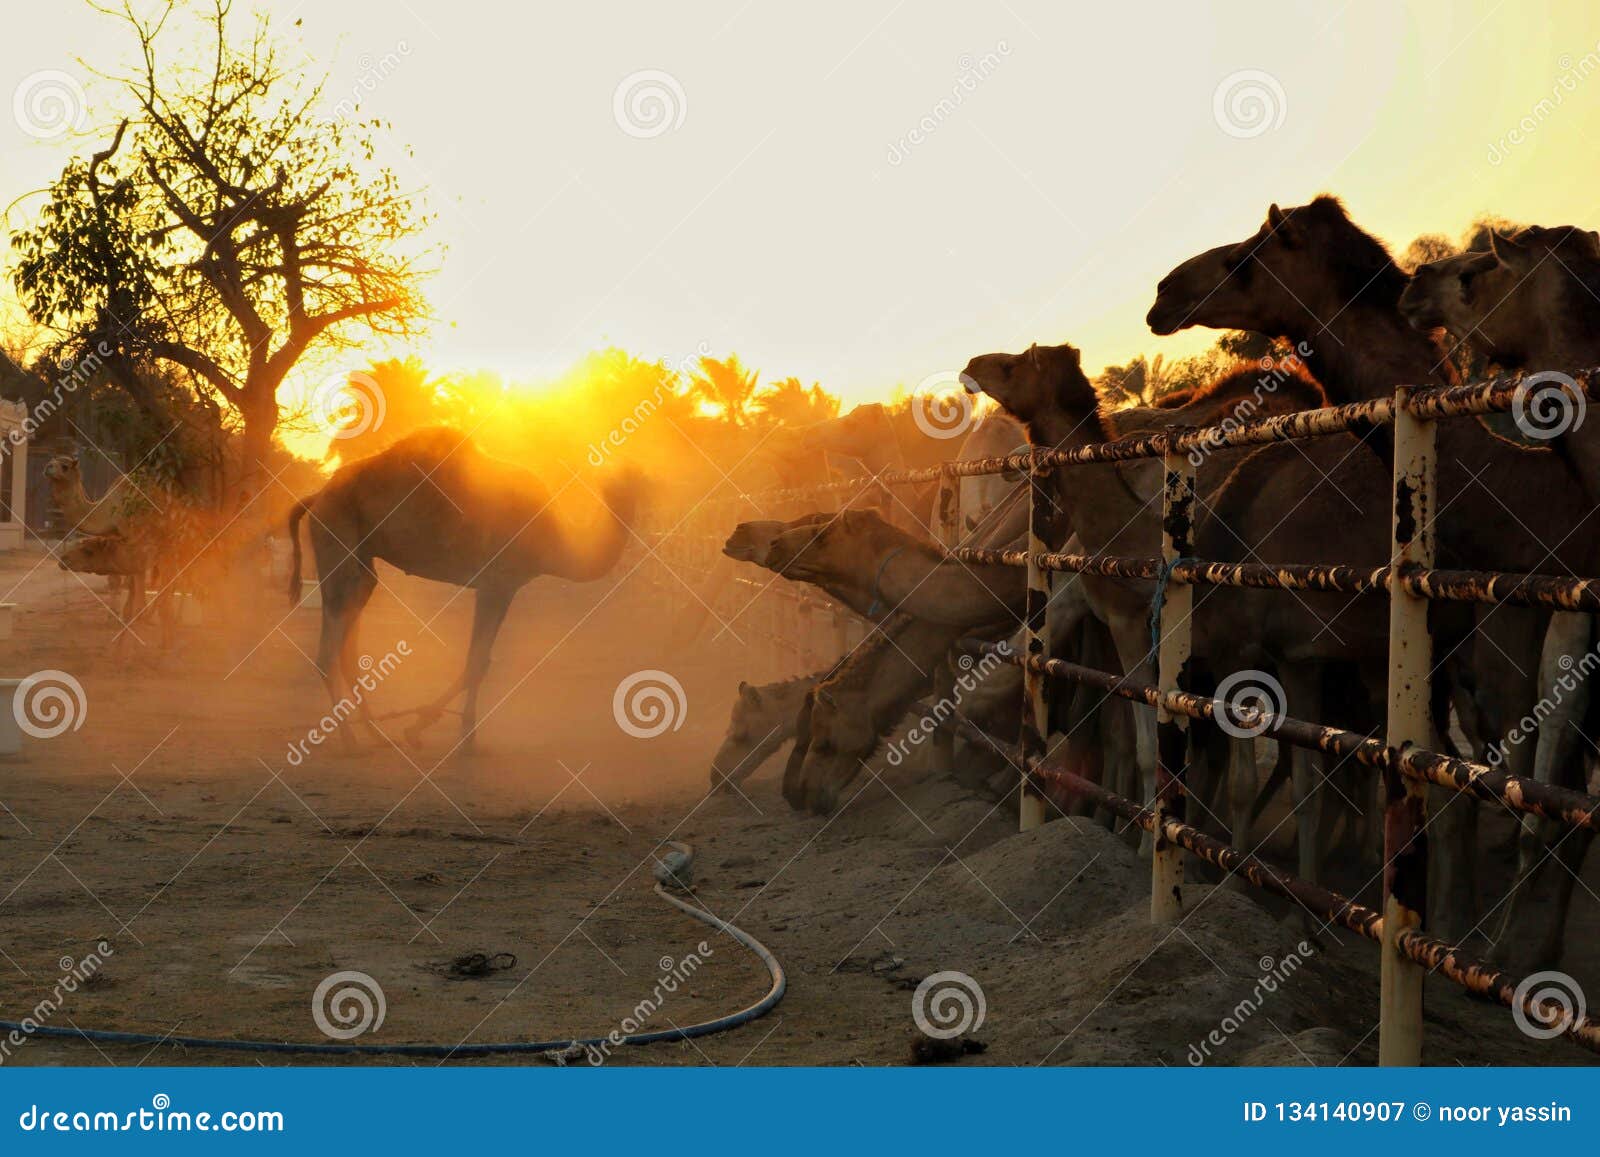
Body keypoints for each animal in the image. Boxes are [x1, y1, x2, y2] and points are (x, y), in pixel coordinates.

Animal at [287, 427, 644, 752]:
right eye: (624, 477)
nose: (641, 489)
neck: (552, 539)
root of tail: (317, 496)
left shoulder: (503, 587)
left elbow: (480, 661)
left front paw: (445, 730)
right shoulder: (495, 584)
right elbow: (476, 662)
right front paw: (448, 732)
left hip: (361, 558)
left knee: (349, 637)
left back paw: (376, 734)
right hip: (336, 536)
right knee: (329, 649)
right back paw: (350, 739)